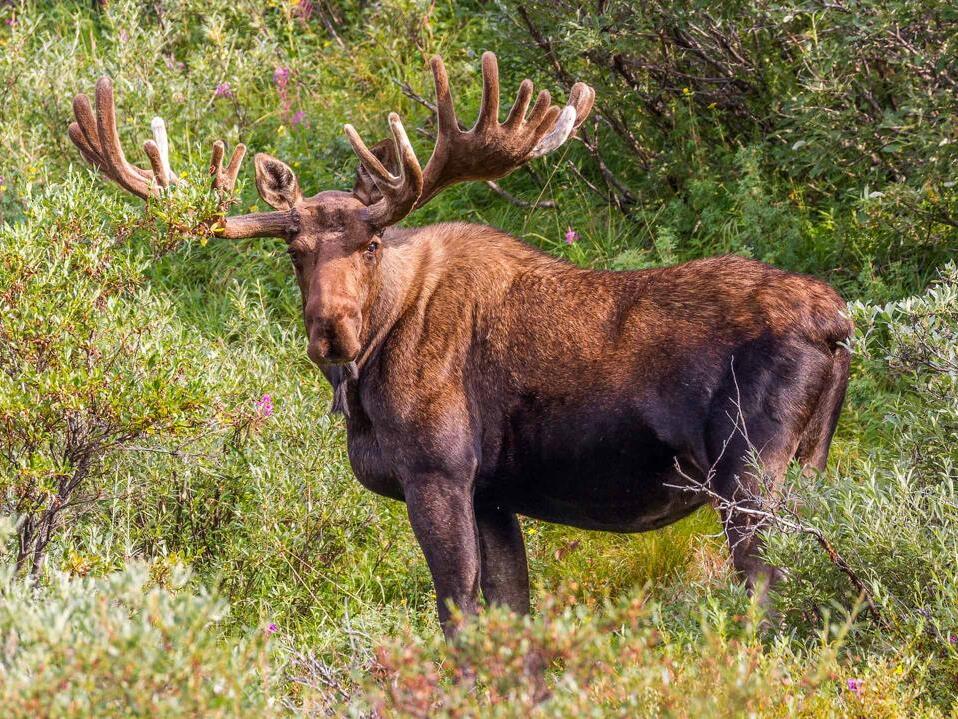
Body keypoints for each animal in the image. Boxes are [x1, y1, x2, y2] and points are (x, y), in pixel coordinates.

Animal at [69, 52, 851, 639]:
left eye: (372, 241)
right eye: (294, 251)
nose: (331, 332)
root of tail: (838, 325)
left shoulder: (439, 472)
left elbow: (459, 618)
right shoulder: (493, 492)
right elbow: (511, 613)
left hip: (747, 470)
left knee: (770, 588)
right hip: (809, 462)